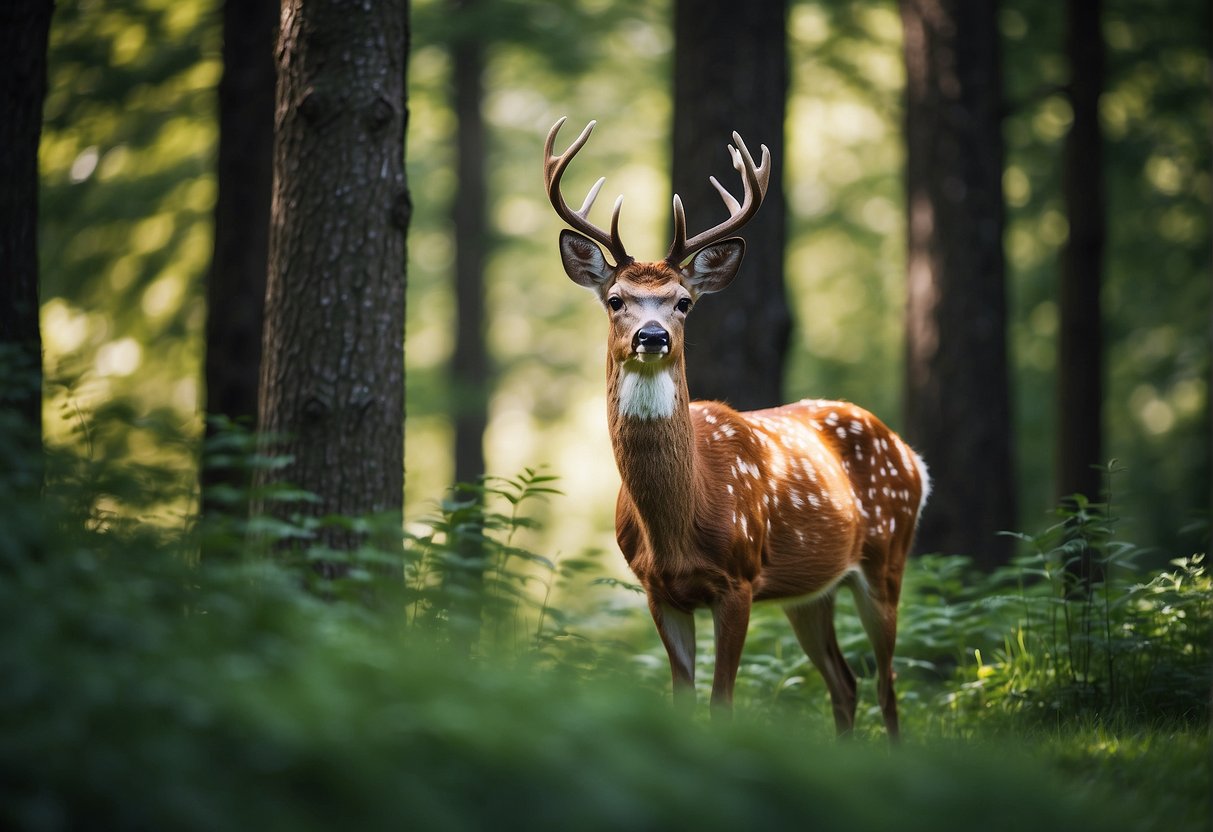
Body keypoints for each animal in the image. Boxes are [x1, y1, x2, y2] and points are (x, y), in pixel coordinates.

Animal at [543, 117, 930, 739]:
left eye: (683, 301)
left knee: (887, 686)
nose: (653, 336)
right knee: (845, 682)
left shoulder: (739, 581)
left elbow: (722, 702)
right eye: (615, 299)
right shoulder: (659, 591)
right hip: (810, 590)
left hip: (887, 557)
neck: (679, 523)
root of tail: (911, 456)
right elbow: (680, 699)